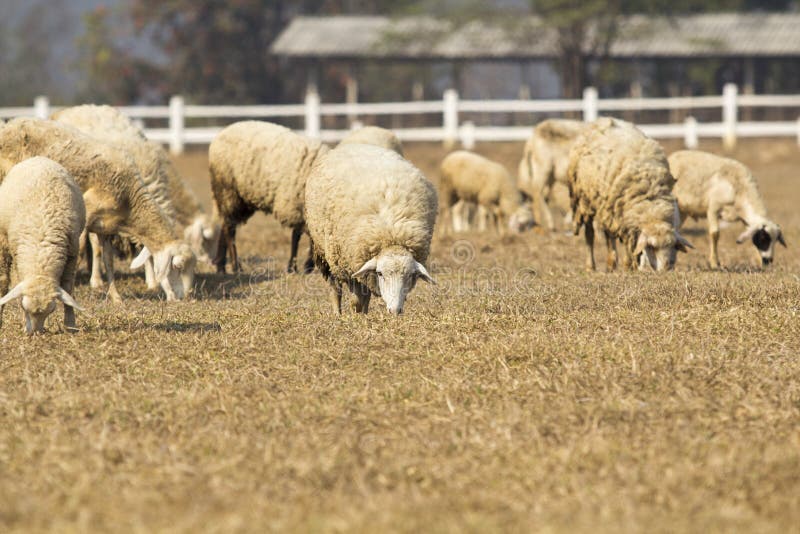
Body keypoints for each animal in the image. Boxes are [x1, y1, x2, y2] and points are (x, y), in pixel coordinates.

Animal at [0, 118, 195, 302]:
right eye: (177, 266)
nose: (182, 297)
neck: (129, 200)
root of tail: (9, 125)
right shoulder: (83, 217)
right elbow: (79, 254)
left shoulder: (106, 228)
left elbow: (108, 261)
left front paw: (116, 298)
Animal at [0, 157, 85, 334]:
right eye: (23, 307)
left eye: (51, 310)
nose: (36, 333)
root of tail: (39, 158)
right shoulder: (17, 252)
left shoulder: (72, 252)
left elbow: (68, 287)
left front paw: (70, 324)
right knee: (3, 281)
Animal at [209, 121, 329, 274]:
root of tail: (220, 135)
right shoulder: (294, 205)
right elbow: (298, 236)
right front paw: (296, 266)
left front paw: (303, 266)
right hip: (228, 190)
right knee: (229, 231)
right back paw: (236, 267)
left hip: (240, 199)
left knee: (225, 226)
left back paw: (221, 266)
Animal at [304, 143, 436, 315]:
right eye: (380, 273)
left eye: (410, 275)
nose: (395, 311)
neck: (391, 233)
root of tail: (355, 145)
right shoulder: (350, 263)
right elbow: (355, 300)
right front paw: (356, 315)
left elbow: (364, 297)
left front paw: (364, 316)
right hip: (327, 252)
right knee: (335, 287)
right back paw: (337, 314)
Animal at [567, 118, 692, 272]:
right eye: (651, 247)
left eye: (673, 245)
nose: (667, 269)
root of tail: (601, 120)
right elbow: (627, 243)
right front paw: (627, 265)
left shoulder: (626, 217)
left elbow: (632, 243)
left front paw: (630, 265)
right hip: (586, 200)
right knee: (590, 233)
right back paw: (592, 266)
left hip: (609, 207)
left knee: (609, 235)